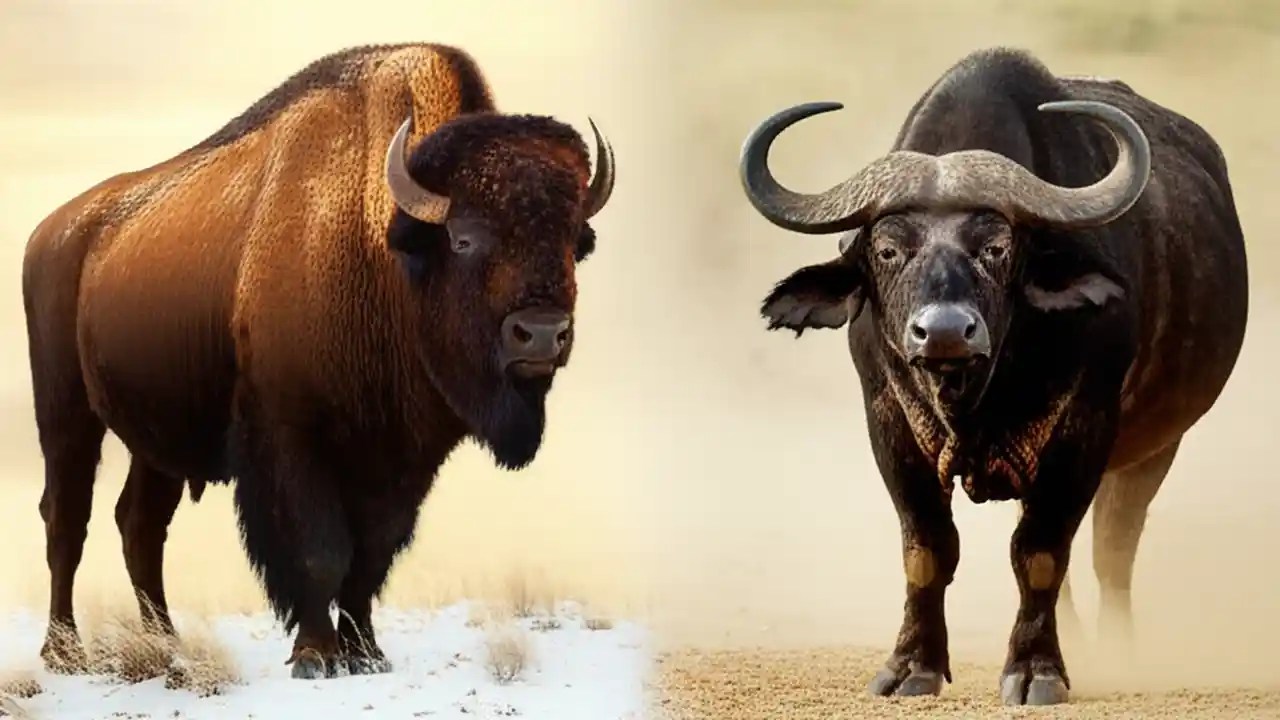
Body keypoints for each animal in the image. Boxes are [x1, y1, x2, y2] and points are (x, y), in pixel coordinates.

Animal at [22, 42, 615, 679]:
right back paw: (64, 652)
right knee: (66, 519)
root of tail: (52, 232)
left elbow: (371, 557)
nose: (541, 334)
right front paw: (314, 655)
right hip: (65, 413)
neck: (382, 245)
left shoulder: (403, 458)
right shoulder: (290, 438)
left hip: (157, 440)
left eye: (576, 242)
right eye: (463, 238)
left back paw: (169, 647)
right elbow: (320, 551)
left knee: (140, 525)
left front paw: (367, 653)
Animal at [739, 47, 1247, 705]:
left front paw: (1036, 670)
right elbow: (928, 550)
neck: (973, 396)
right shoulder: (890, 425)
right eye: (888, 250)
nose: (946, 332)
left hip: (1156, 447)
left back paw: (1116, 649)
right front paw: (912, 665)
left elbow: (1041, 554)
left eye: (997, 247)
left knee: (1113, 551)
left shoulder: (1086, 427)